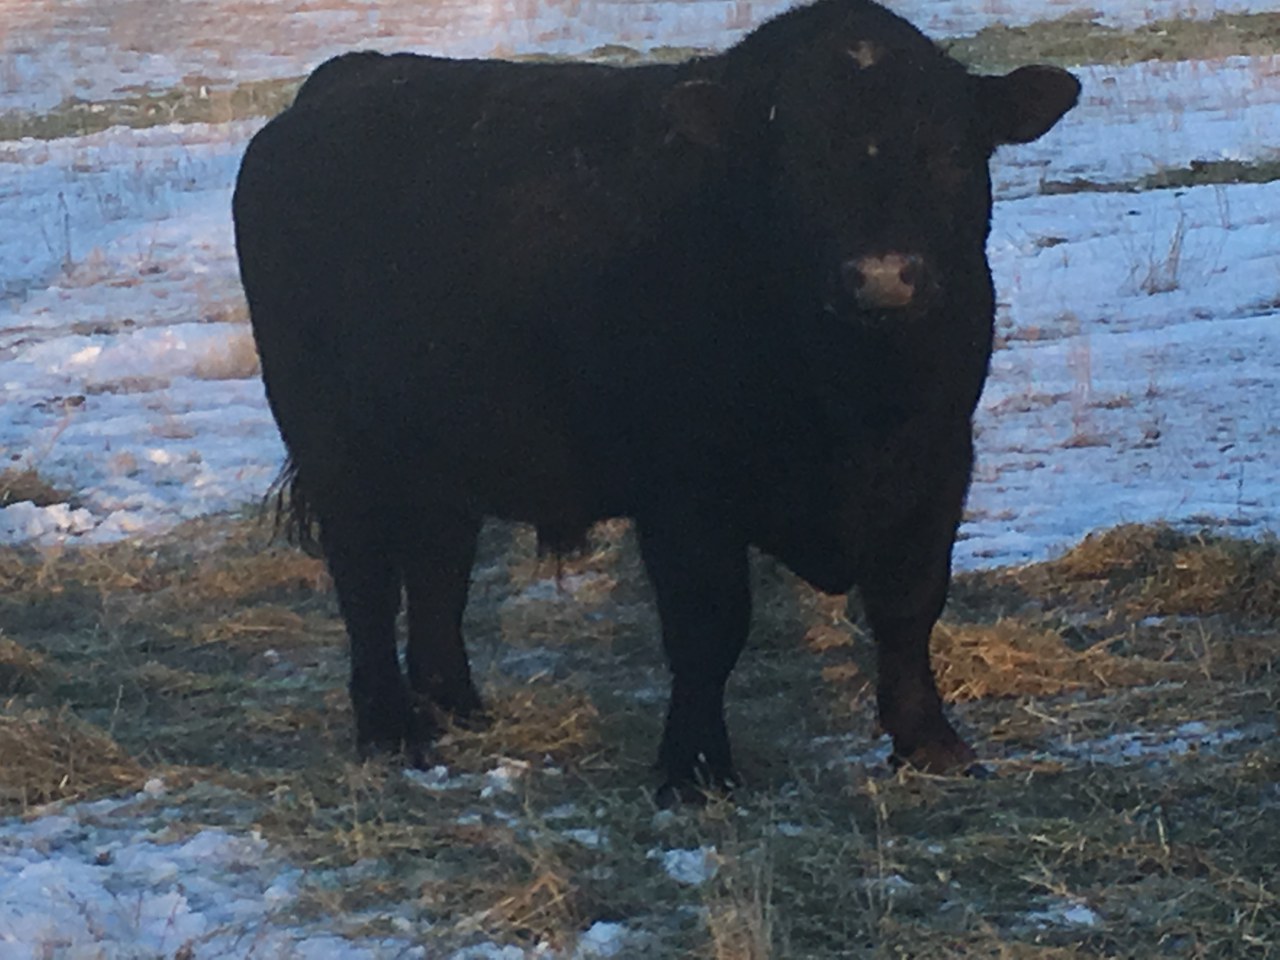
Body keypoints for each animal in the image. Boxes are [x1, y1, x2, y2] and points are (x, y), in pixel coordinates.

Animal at [233, 0, 1079, 801]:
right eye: (796, 158)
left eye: (951, 153)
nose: (882, 276)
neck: (853, 400)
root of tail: (348, 79)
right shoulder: (684, 488)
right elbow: (708, 624)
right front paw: (695, 769)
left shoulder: (936, 461)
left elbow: (909, 606)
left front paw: (930, 744)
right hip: (336, 449)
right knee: (366, 582)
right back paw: (391, 730)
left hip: (443, 448)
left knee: (439, 564)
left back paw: (456, 705)